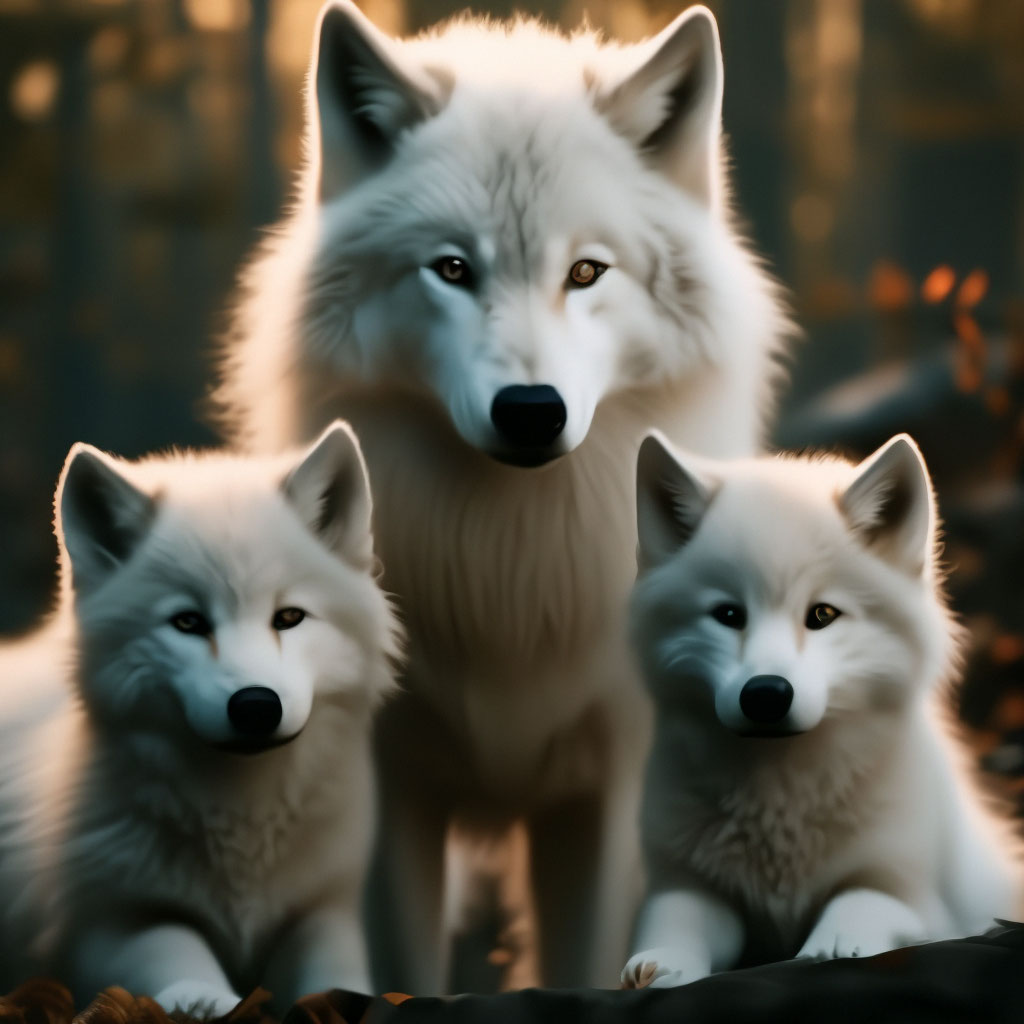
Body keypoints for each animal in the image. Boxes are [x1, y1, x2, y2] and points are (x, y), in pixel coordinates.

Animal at [0, 423, 398, 1013]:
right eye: (187, 622)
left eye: (289, 617)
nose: (256, 705)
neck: (242, 826)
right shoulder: (110, 924)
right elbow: (183, 961)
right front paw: (215, 1003)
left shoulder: (323, 910)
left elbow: (336, 977)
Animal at [212, 1, 791, 989]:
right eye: (451, 269)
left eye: (587, 272)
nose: (530, 411)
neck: (509, 567)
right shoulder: (388, 786)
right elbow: (400, 970)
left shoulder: (612, 791)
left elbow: (591, 962)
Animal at [622, 432, 1022, 988]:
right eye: (728, 614)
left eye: (822, 615)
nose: (766, 694)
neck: (780, 803)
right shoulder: (686, 884)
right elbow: (677, 922)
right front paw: (661, 962)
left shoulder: (922, 902)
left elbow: (860, 899)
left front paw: (833, 946)